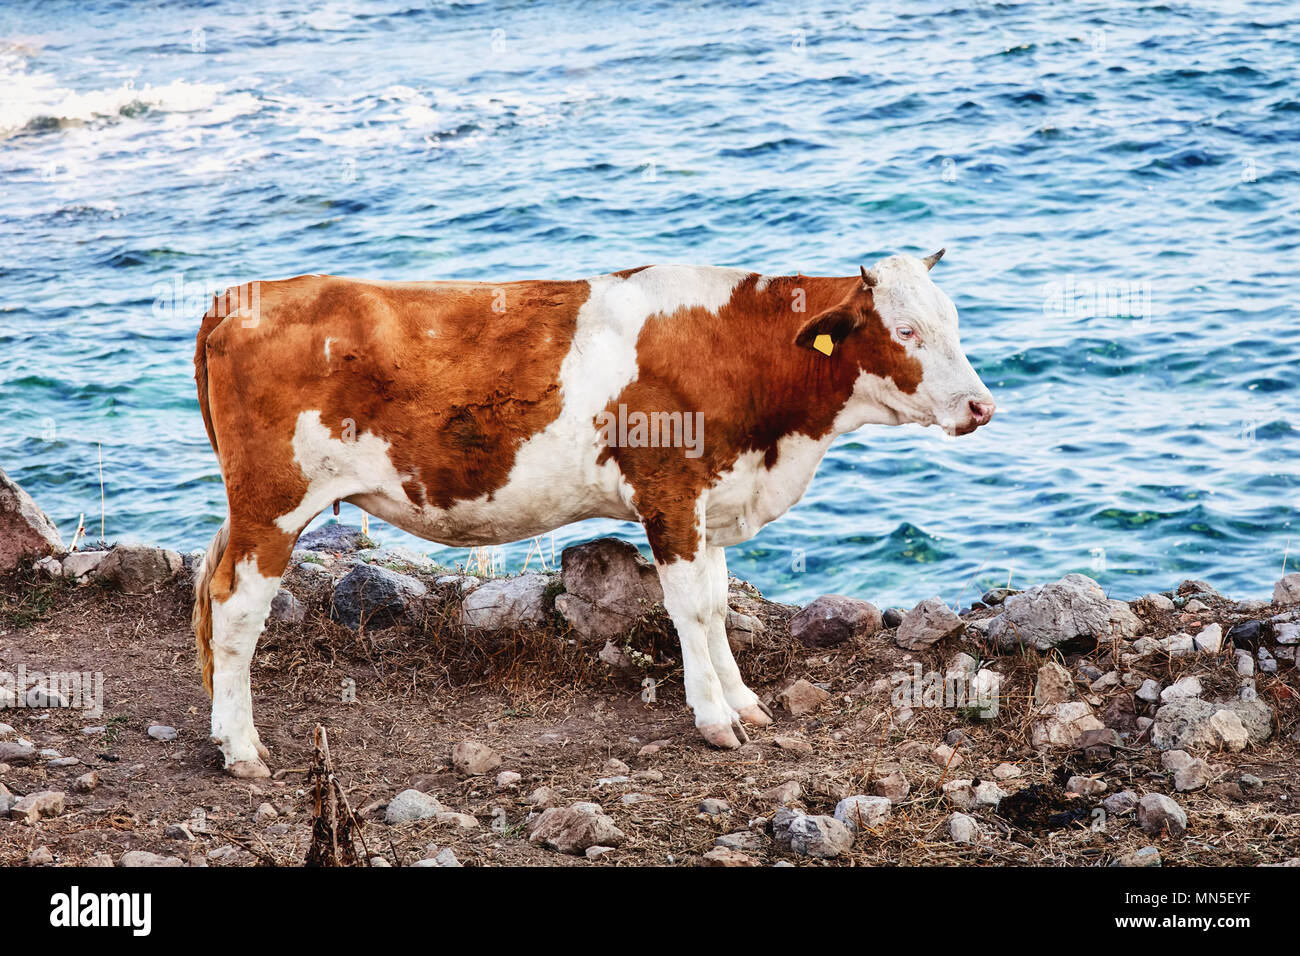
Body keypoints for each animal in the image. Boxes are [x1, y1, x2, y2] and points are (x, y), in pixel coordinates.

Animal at [192, 250, 995, 777]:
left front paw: (743, 701)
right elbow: (688, 607)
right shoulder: (669, 491)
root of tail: (245, 296)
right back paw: (241, 748)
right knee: (235, 609)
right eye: (907, 331)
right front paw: (713, 719)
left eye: (954, 321)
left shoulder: (712, 495)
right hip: (273, 503)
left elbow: (715, 602)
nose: (981, 405)